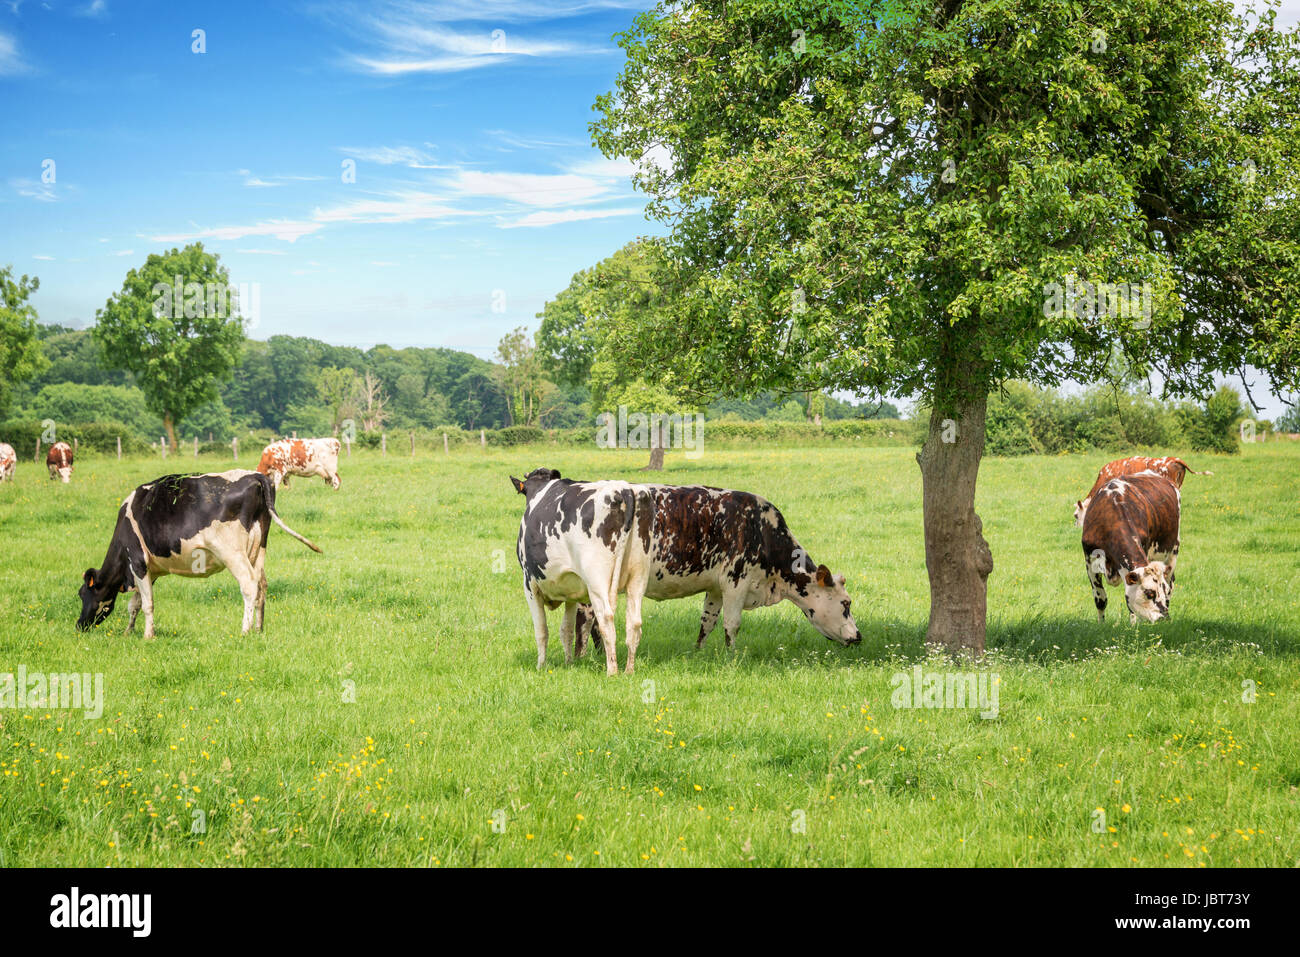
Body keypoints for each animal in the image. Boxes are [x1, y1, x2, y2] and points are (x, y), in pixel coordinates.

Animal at [76, 469, 322, 639]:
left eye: (82, 594)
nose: (79, 625)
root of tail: (255, 476)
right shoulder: (149, 571)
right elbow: (135, 604)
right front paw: (129, 631)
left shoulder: (137, 561)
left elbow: (146, 604)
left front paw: (147, 635)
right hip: (258, 549)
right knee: (262, 585)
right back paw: (258, 629)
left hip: (232, 552)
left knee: (249, 584)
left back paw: (245, 630)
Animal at [512, 468, 862, 676]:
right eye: (846, 604)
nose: (858, 636)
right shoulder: (736, 581)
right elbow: (732, 626)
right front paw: (732, 658)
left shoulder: (717, 588)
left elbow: (707, 623)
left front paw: (700, 653)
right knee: (591, 622)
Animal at [1080, 470, 1181, 623]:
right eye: (1150, 593)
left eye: (1162, 591)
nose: (1164, 618)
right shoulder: (1089, 560)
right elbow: (1100, 599)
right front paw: (1101, 623)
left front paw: (1132, 625)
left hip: (1173, 551)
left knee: (1171, 582)